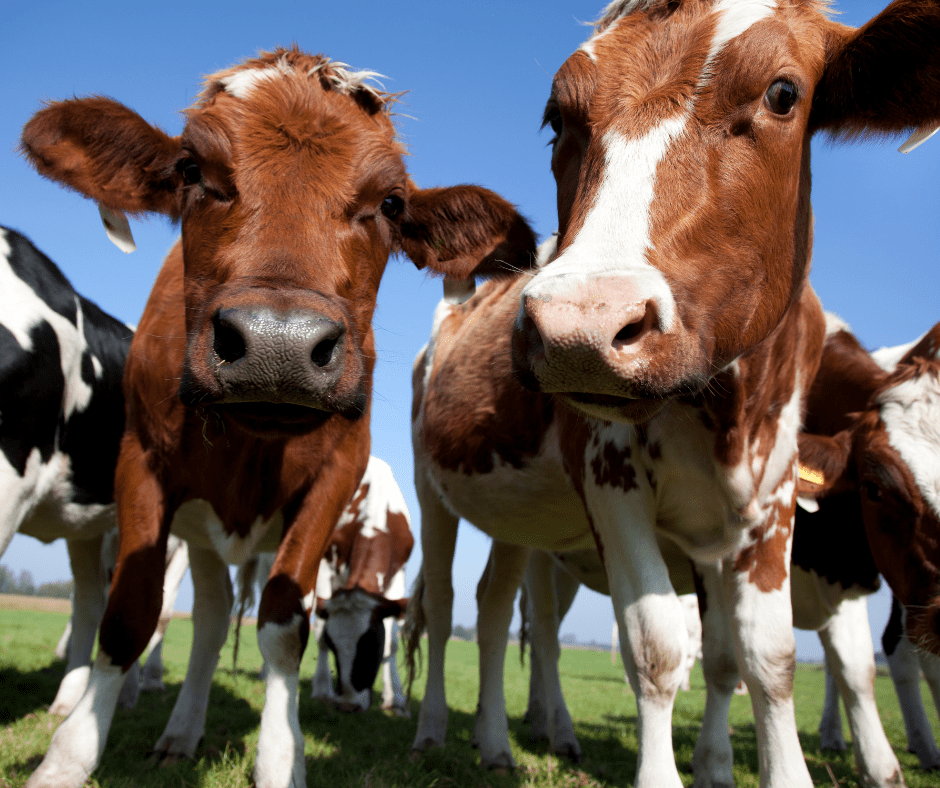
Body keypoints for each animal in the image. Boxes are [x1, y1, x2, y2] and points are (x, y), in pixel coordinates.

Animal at [19, 47, 536, 788]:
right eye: (192, 170)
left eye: (390, 203)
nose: (278, 345)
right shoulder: (141, 464)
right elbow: (128, 615)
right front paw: (66, 758)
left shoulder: (332, 482)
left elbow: (285, 628)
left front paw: (281, 756)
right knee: (205, 619)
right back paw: (180, 730)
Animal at [406, 2, 940, 786]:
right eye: (557, 116)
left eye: (784, 94)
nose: (579, 327)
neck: (724, 413)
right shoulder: (610, 478)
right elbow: (658, 647)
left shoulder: (773, 499)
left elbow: (761, 657)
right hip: (433, 491)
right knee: (445, 607)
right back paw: (435, 727)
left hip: (521, 521)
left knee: (499, 609)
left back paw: (502, 741)